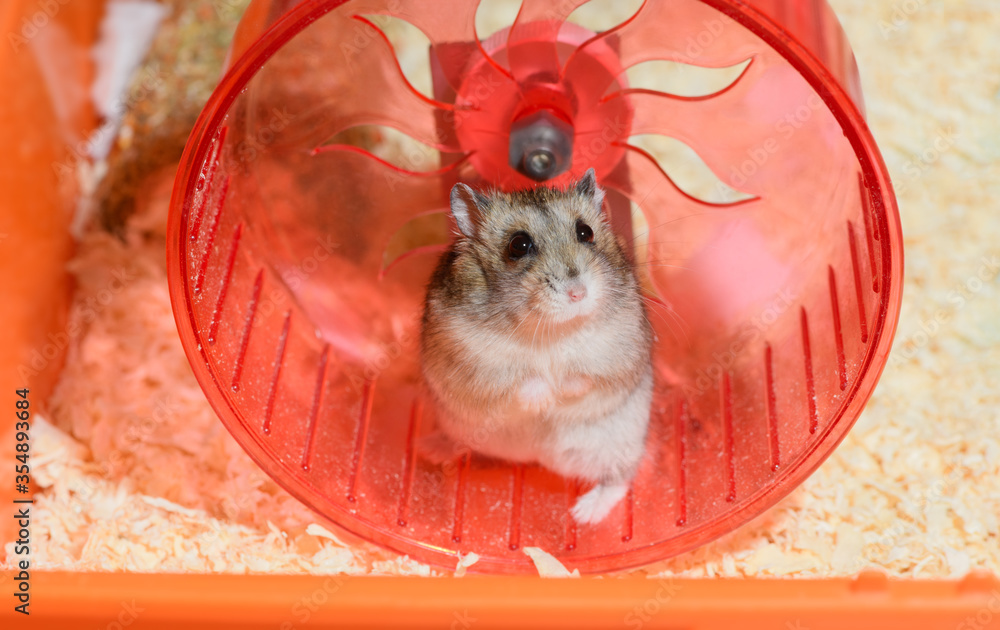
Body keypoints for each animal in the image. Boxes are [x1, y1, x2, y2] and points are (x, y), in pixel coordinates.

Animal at [420, 169, 654, 525]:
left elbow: (582, 377)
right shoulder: (470, 365)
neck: (550, 329)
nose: (578, 293)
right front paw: (545, 399)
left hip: (619, 443)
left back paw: (584, 515)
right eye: (519, 245)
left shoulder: (617, 356)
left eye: (585, 232)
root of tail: (534, 459)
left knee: (619, 478)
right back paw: (430, 449)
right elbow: (521, 383)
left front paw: (558, 394)